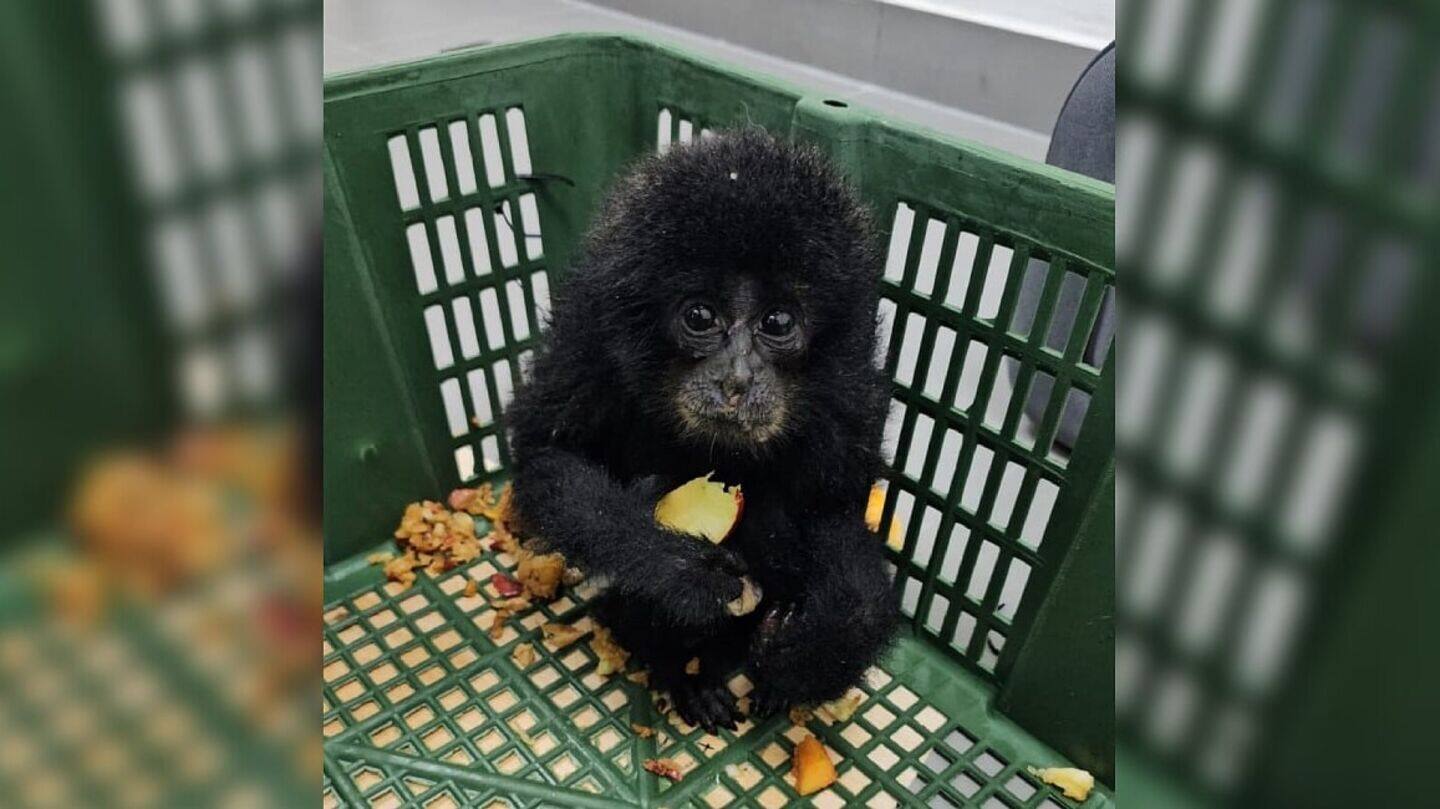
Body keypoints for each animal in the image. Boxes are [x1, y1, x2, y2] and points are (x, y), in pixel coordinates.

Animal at [508, 129, 898, 732]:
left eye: (777, 322)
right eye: (700, 317)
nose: (736, 378)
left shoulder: (851, 392)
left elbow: (833, 510)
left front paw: (813, 651)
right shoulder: (589, 336)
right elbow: (546, 457)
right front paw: (683, 571)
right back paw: (679, 671)